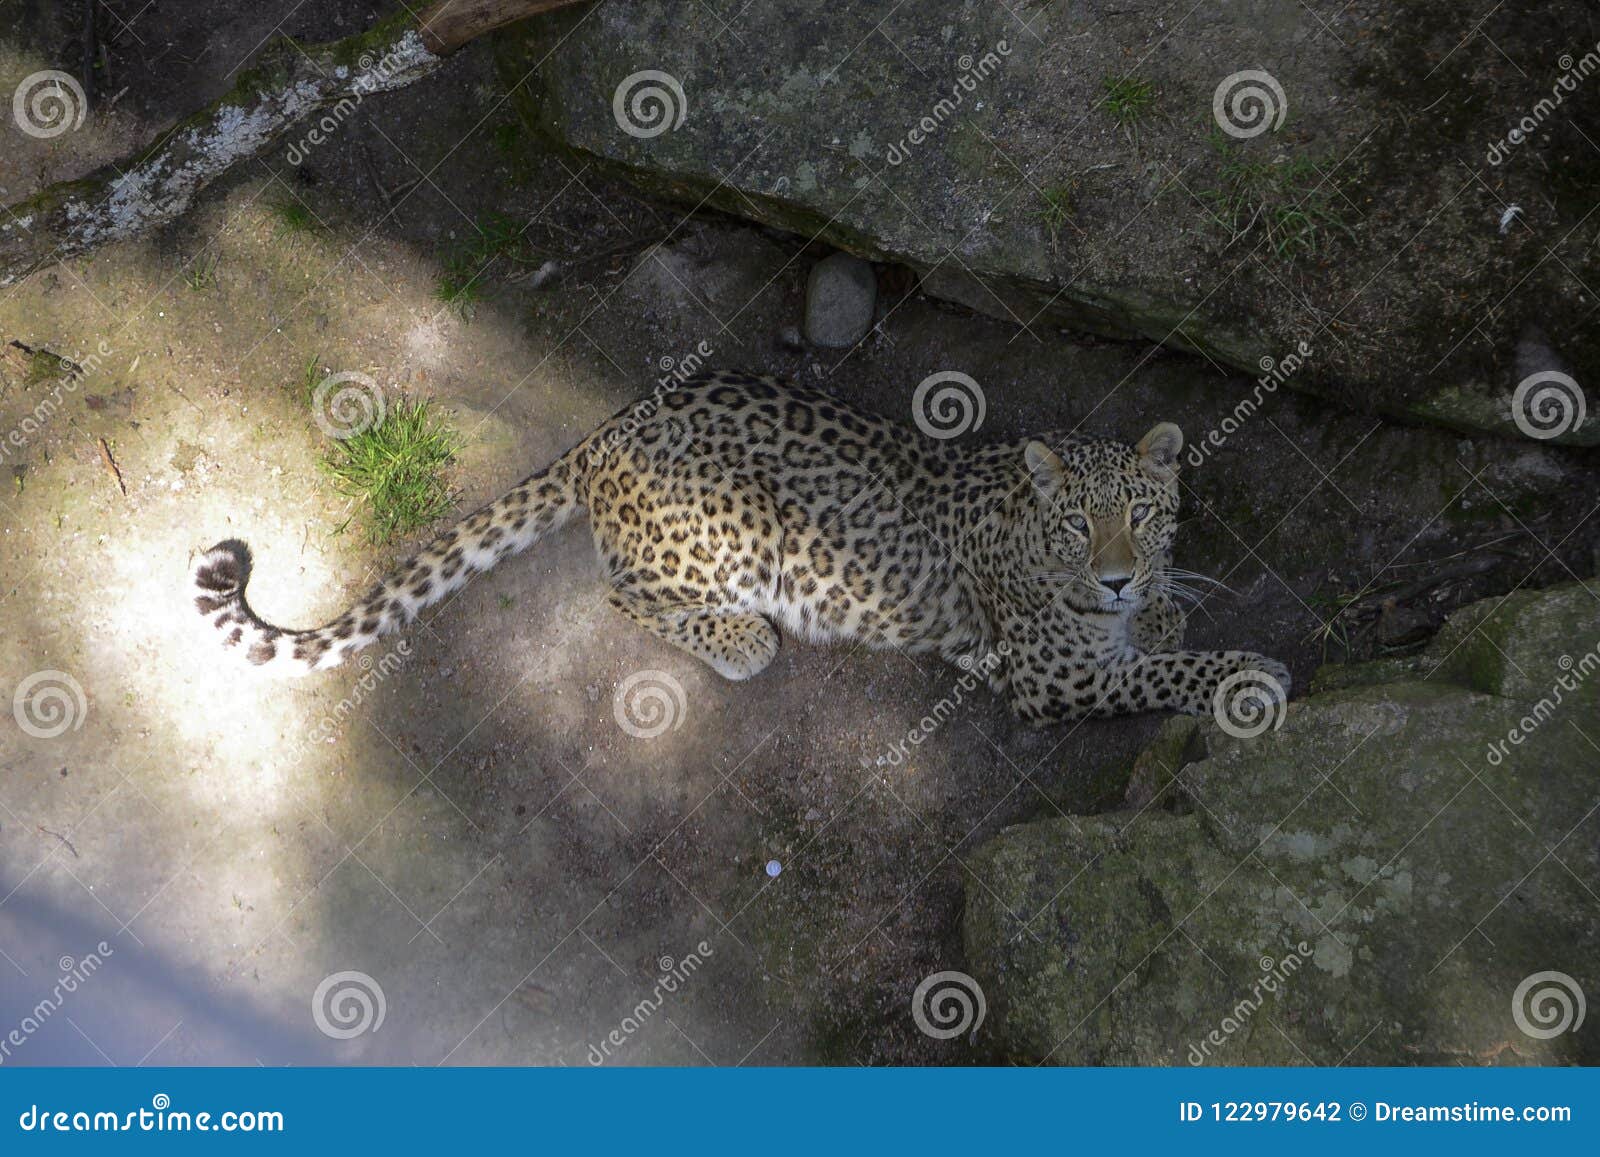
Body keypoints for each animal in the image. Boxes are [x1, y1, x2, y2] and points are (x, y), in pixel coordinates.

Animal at [191, 369, 1291, 724]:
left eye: (1140, 513)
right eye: (1076, 525)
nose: (1114, 574)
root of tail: (611, 428)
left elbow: (1159, 626)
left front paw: (1163, 604)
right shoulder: (1054, 679)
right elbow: (1158, 673)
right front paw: (1245, 673)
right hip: (723, 533)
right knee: (627, 594)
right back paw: (740, 639)